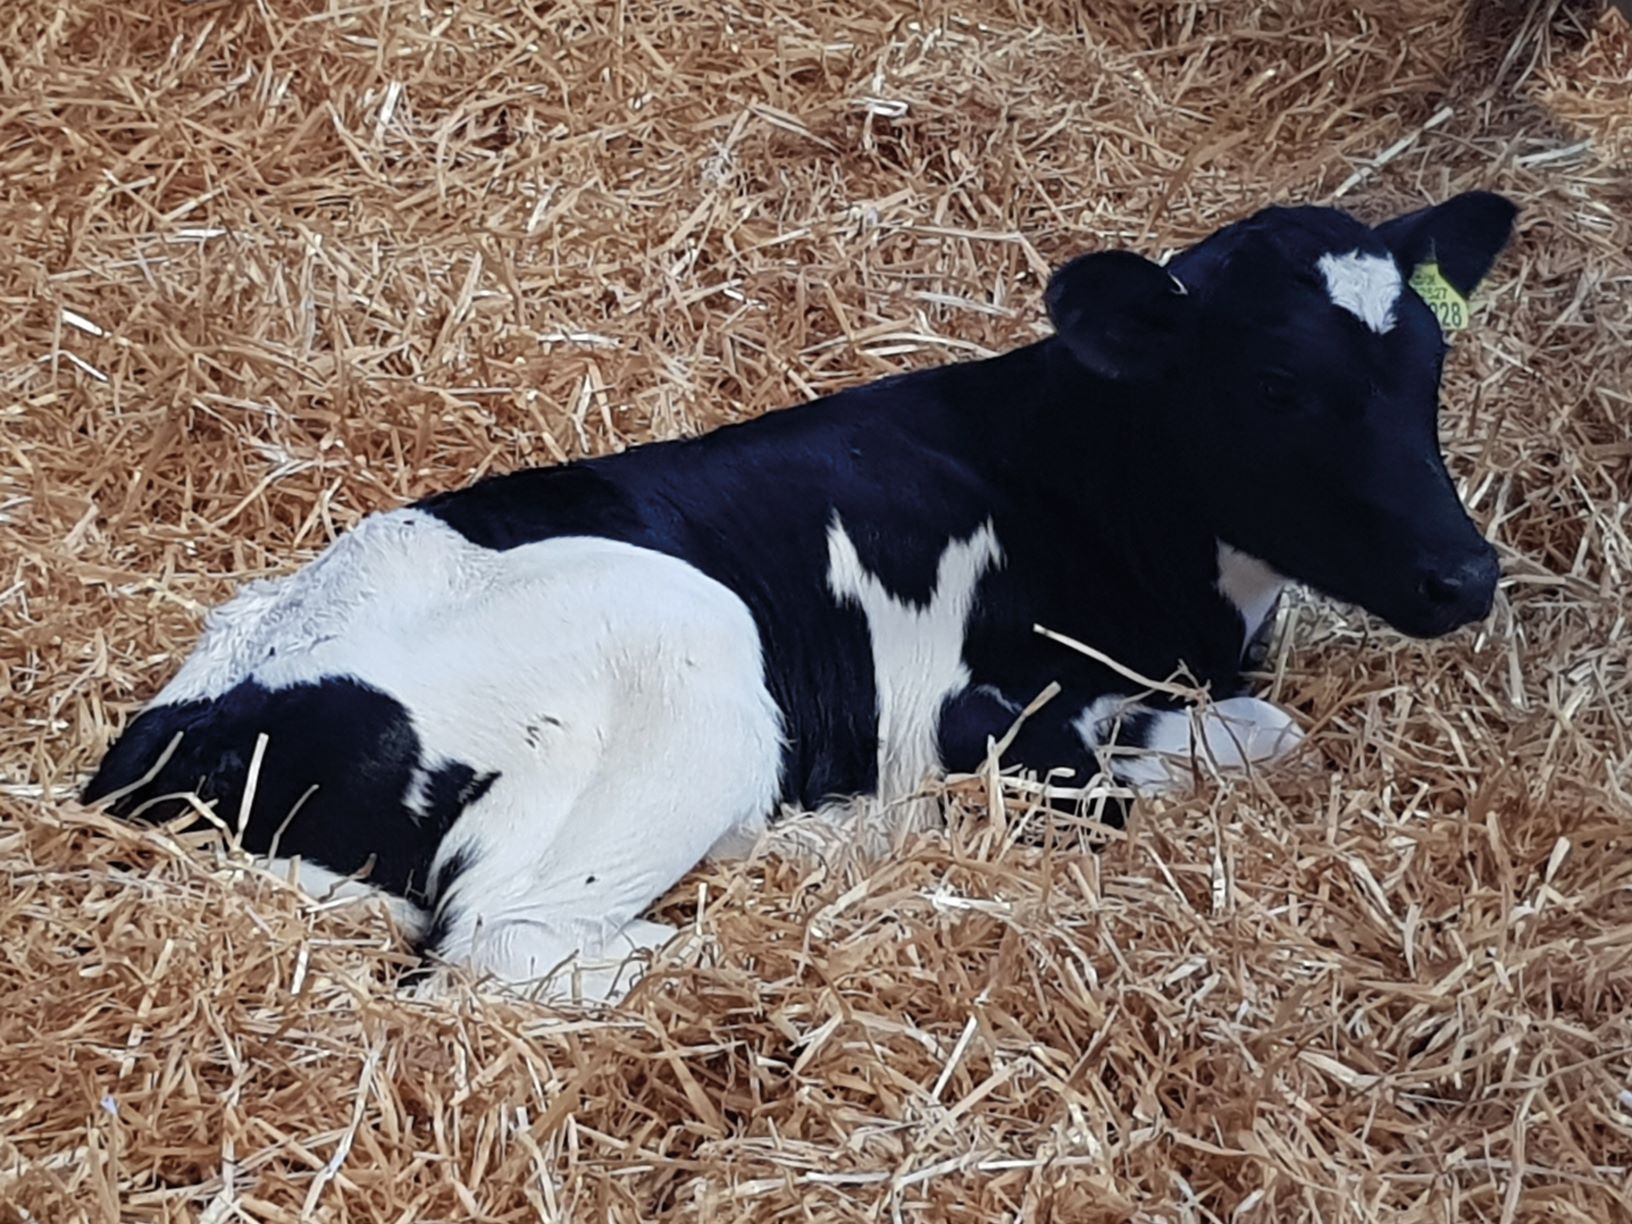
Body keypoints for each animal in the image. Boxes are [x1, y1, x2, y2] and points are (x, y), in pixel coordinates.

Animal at [83, 191, 1518, 1002]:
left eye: (1432, 371)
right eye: (1275, 386)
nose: (1467, 575)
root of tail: (179, 727)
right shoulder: (981, 715)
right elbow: (1181, 760)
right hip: (696, 642)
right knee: (496, 945)